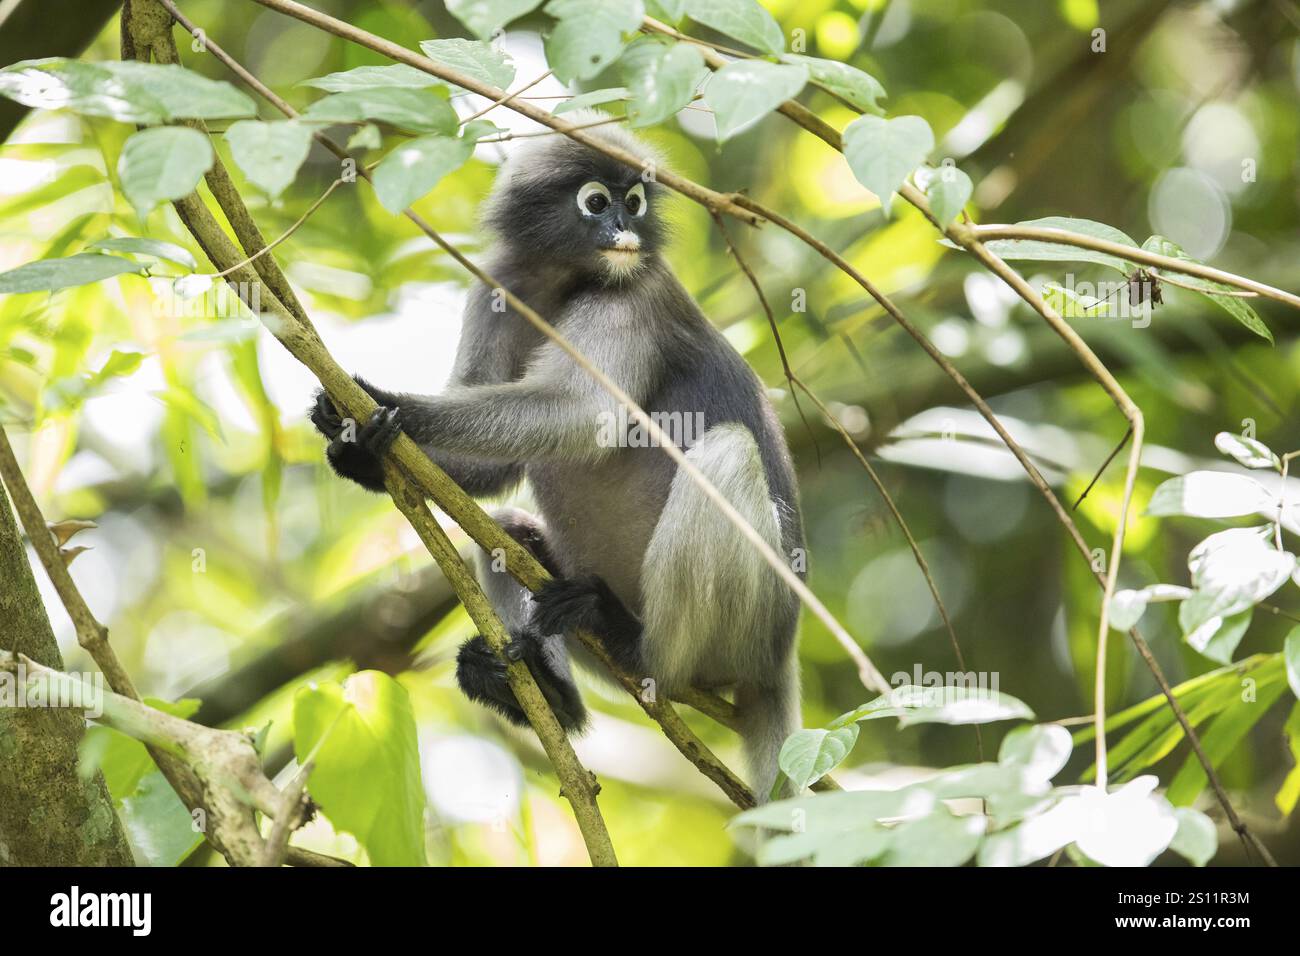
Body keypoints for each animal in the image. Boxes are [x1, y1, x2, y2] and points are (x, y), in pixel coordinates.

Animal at [310, 114, 805, 801]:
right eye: (596, 202)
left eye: (634, 202)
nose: (624, 230)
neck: (562, 281)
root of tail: (780, 659)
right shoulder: (497, 287)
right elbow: (493, 476)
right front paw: (359, 453)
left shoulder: (634, 294)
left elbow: (583, 414)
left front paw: (384, 403)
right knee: (506, 532)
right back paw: (549, 699)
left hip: (750, 628)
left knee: (728, 451)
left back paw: (639, 649)